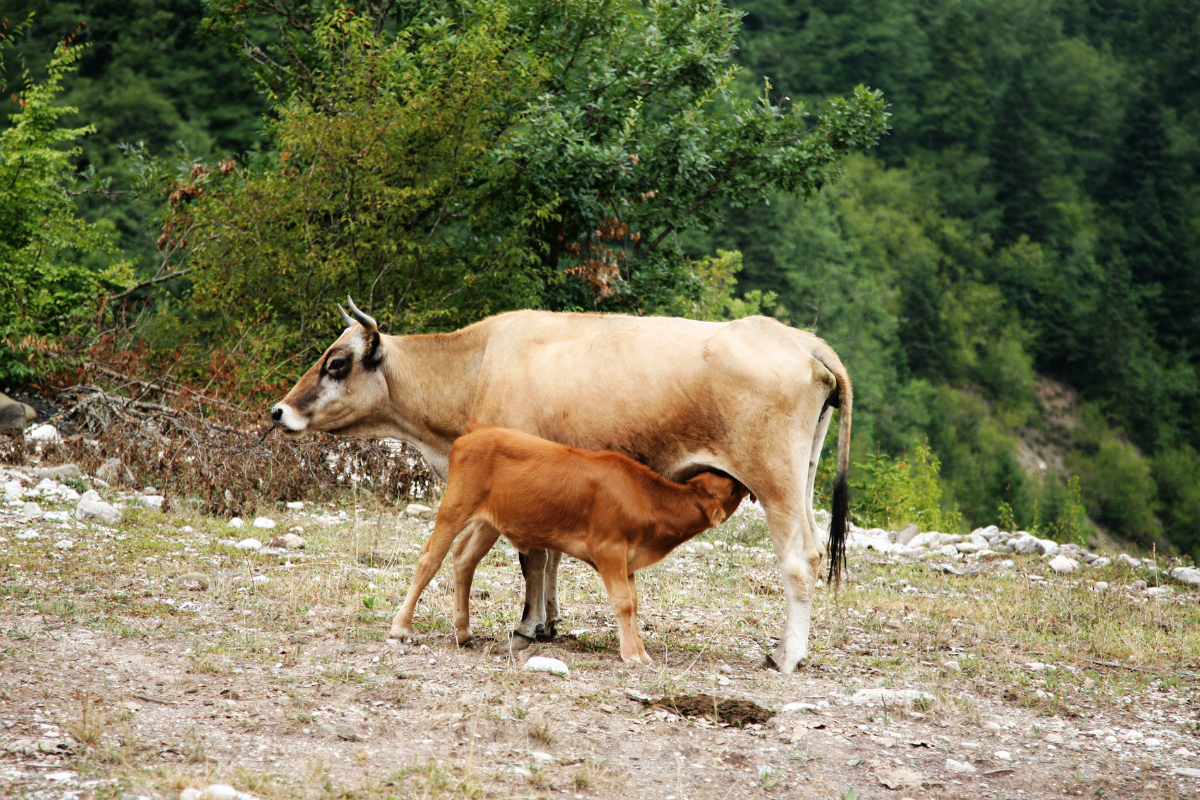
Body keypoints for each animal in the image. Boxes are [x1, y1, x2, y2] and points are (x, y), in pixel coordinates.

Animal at [391, 424, 751, 663]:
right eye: (731, 488)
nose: (741, 480)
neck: (645, 498)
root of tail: (474, 434)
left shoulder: (628, 559)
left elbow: (633, 603)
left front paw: (640, 651)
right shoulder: (609, 549)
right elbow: (623, 602)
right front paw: (632, 656)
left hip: (488, 522)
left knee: (464, 559)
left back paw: (463, 632)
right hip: (455, 507)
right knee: (429, 558)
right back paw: (400, 627)